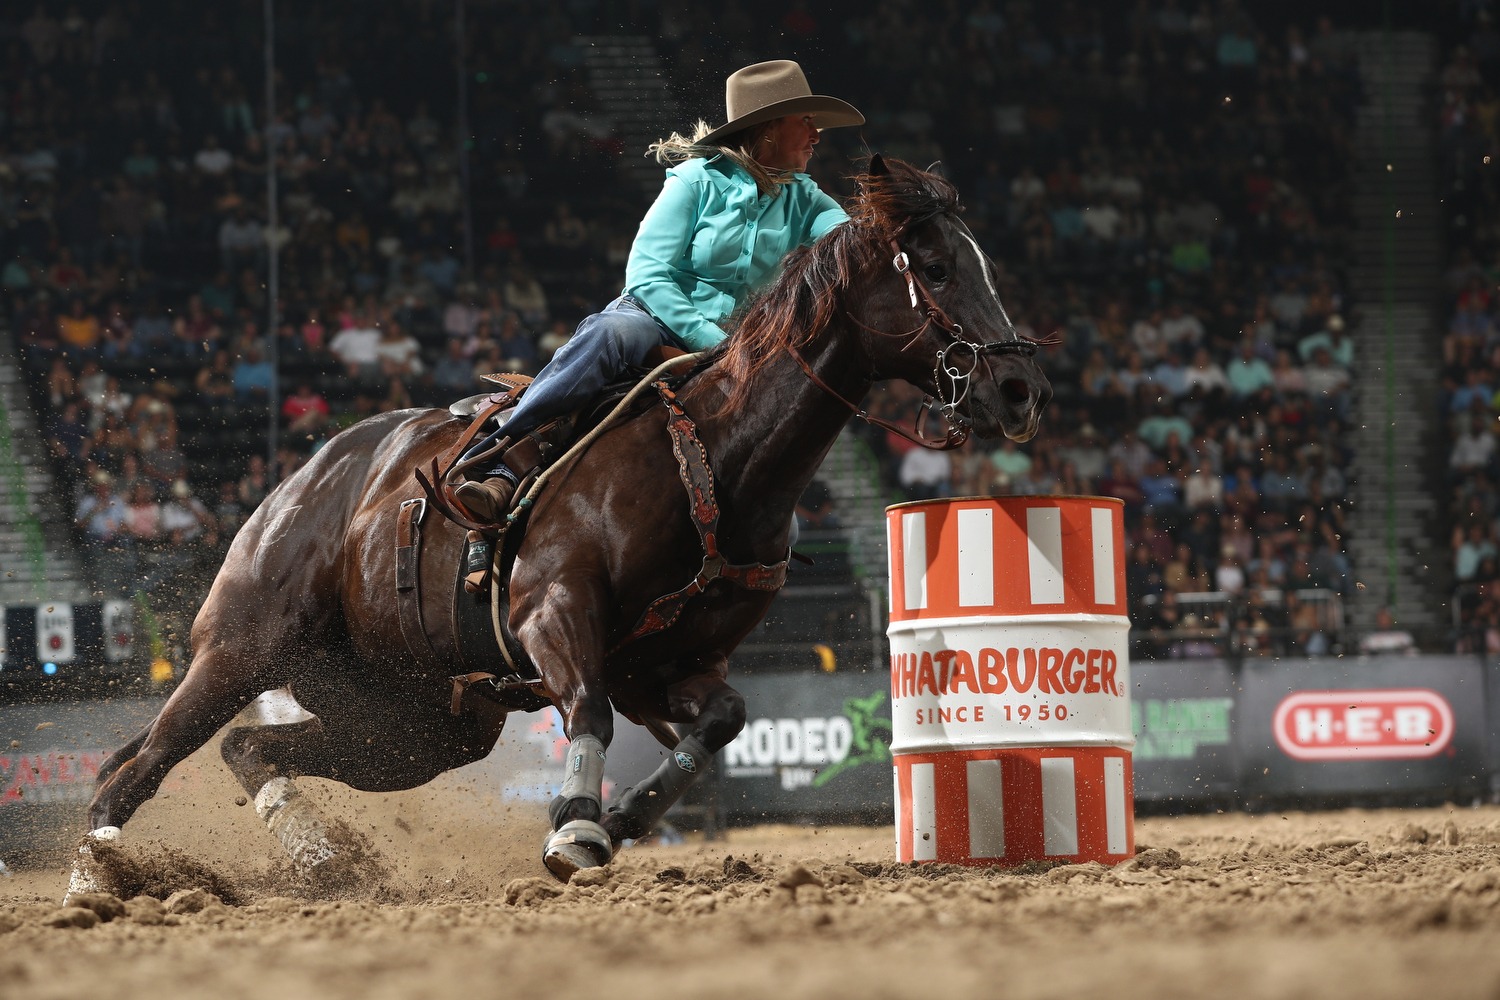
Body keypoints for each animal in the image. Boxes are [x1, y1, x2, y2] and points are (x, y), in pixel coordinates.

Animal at [72, 156, 1052, 889]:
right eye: (933, 267)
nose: (1019, 390)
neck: (719, 459)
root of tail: (312, 477)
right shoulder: (556, 614)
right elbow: (586, 712)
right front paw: (579, 827)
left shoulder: (662, 664)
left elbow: (721, 721)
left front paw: (621, 817)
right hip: (243, 648)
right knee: (140, 766)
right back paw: (98, 870)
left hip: (416, 724)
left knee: (249, 748)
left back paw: (319, 857)